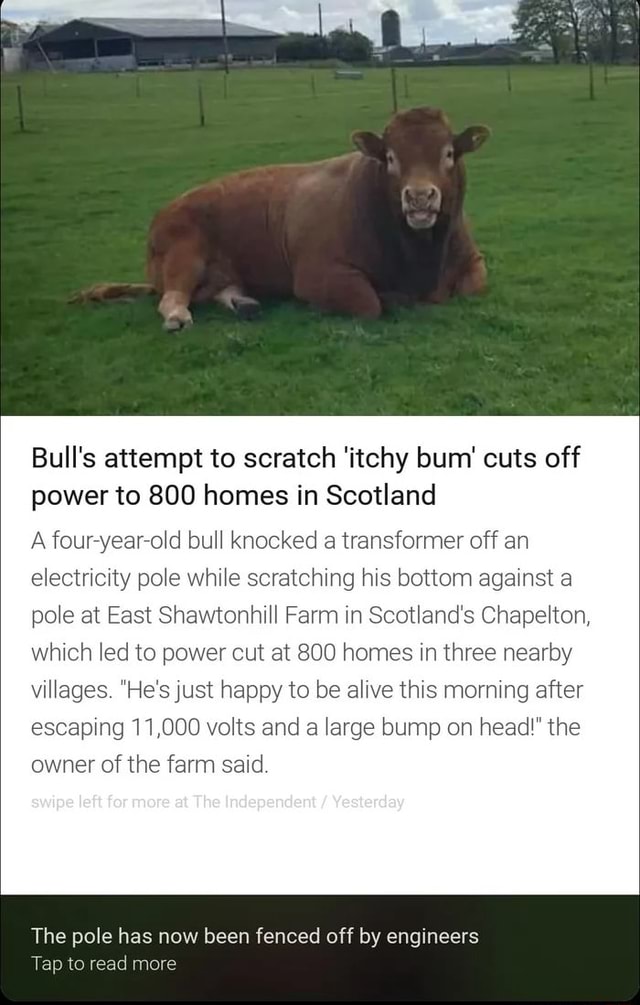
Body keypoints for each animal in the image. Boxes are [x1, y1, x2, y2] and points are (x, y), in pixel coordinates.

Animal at [71, 107, 490, 330]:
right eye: (390, 157)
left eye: (449, 153)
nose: (419, 197)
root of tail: (165, 211)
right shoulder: (319, 275)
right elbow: (369, 303)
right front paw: (388, 298)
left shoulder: (472, 259)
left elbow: (475, 285)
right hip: (182, 253)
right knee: (173, 297)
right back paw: (178, 316)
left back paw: (246, 304)